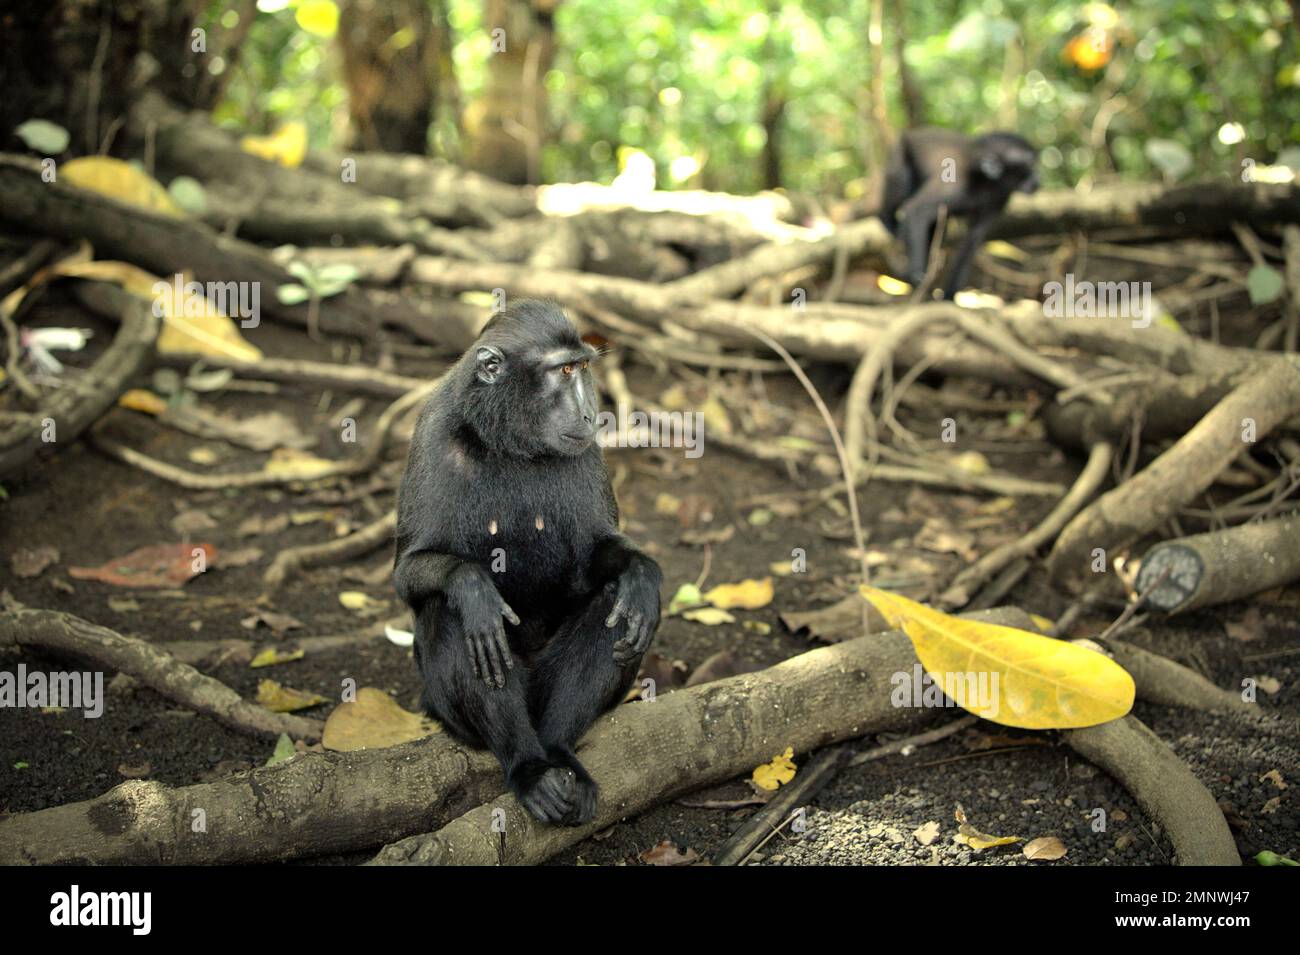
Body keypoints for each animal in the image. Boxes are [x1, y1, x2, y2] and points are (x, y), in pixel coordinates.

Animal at [393, 299, 662, 827]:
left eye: (582, 368)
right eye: (563, 371)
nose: (589, 412)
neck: (508, 444)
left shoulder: (585, 451)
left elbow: (594, 562)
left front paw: (642, 572)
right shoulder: (433, 436)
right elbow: (410, 574)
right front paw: (471, 584)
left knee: (614, 601)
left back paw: (557, 751)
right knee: (454, 615)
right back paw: (530, 768)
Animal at [879, 127, 1039, 299]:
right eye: (1030, 167)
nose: (1038, 179)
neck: (986, 183)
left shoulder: (999, 199)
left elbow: (972, 238)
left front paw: (949, 295)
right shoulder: (955, 185)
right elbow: (916, 210)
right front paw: (917, 277)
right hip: (900, 154)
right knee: (902, 181)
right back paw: (888, 223)